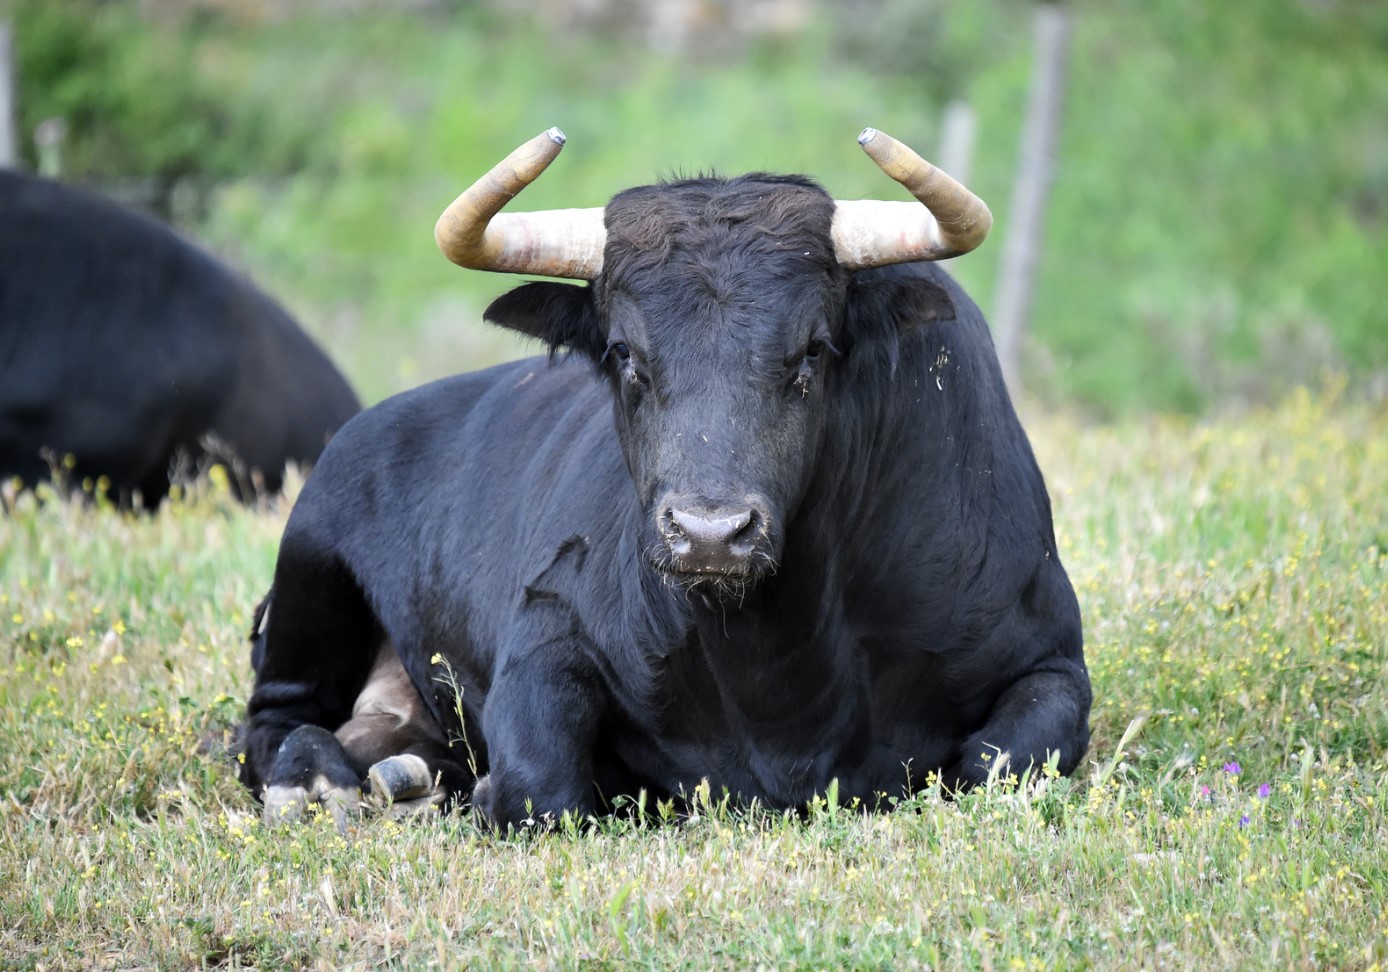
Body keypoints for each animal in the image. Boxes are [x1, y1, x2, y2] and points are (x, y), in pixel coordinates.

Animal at [239, 127, 1090, 829]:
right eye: (624, 352)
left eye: (813, 350)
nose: (710, 534)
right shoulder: (548, 627)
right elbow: (538, 790)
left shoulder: (1053, 660)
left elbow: (998, 763)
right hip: (308, 568)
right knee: (273, 720)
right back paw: (316, 782)